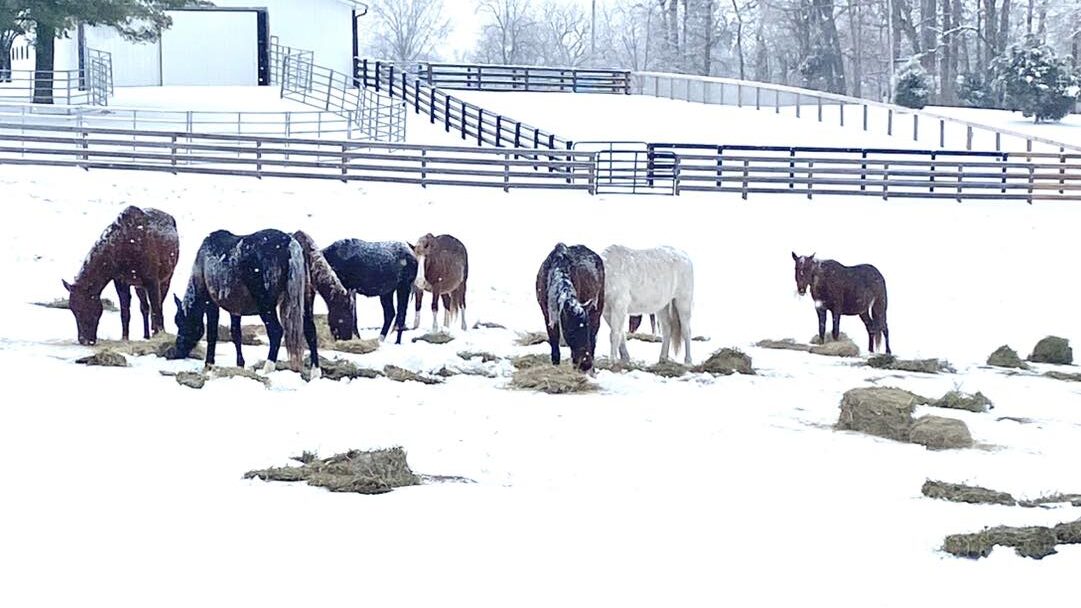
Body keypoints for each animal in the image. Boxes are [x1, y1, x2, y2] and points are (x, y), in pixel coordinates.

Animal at [62, 206, 179, 346]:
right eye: (73, 309)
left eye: (85, 307)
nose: (84, 340)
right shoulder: (121, 281)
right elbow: (125, 312)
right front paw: (125, 337)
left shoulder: (152, 280)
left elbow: (157, 310)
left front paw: (159, 335)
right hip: (139, 285)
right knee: (144, 307)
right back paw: (146, 334)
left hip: (167, 278)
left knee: (158, 304)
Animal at [171, 229, 319, 376]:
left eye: (180, 322)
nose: (177, 351)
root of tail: (290, 243)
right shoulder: (235, 308)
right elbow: (236, 333)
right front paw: (240, 364)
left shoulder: (211, 304)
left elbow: (212, 333)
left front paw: (209, 364)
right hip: (305, 299)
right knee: (310, 330)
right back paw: (315, 372)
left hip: (266, 305)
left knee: (276, 331)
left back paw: (267, 369)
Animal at [535, 243, 605, 373]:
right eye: (571, 331)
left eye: (586, 329)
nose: (585, 364)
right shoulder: (548, 317)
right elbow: (555, 346)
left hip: (597, 311)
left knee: (593, 341)